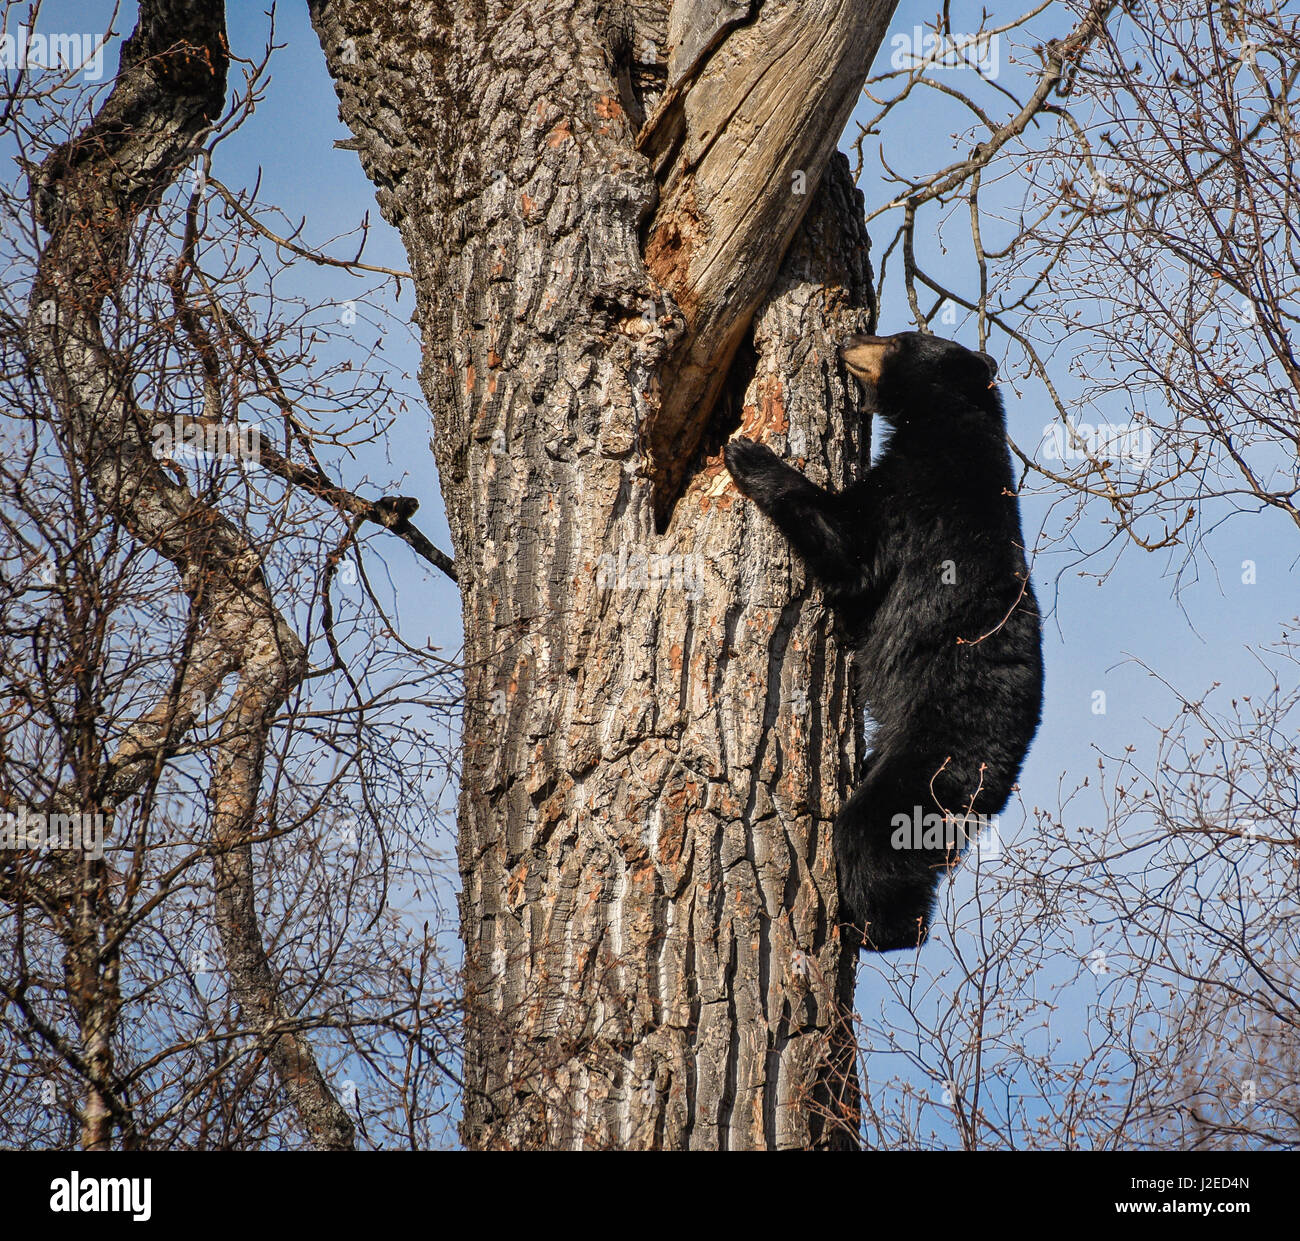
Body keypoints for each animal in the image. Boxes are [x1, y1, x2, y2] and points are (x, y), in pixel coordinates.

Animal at [723, 330, 1043, 951]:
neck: (951, 417)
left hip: (932, 764)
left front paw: (751, 456)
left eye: (900, 340)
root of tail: (1005, 777)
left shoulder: (918, 491)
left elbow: (853, 553)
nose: (850, 338)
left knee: (873, 839)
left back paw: (872, 925)